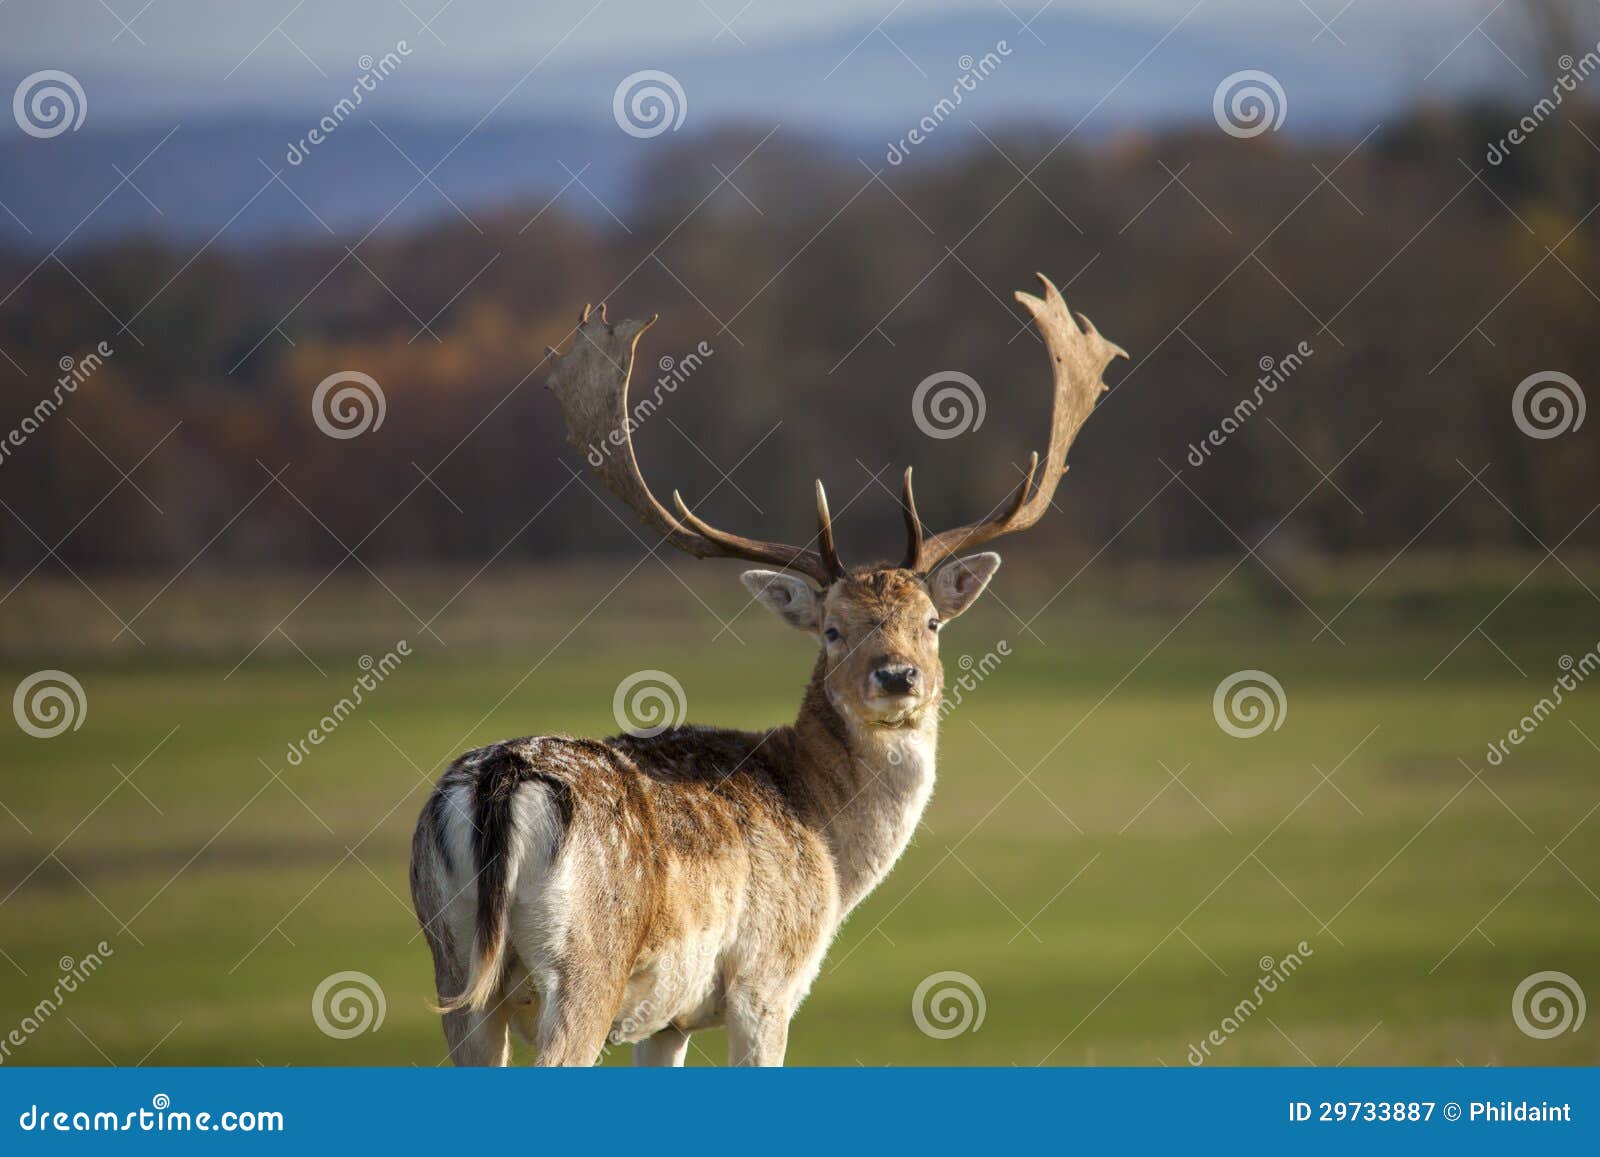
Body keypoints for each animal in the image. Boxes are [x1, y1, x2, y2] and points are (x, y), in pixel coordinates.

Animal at [408, 274, 1126, 1066]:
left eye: (931, 623)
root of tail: (499, 782)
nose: (898, 677)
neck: (830, 851)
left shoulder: (666, 1018)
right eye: (833, 629)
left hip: (453, 966)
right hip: (585, 965)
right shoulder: (769, 978)